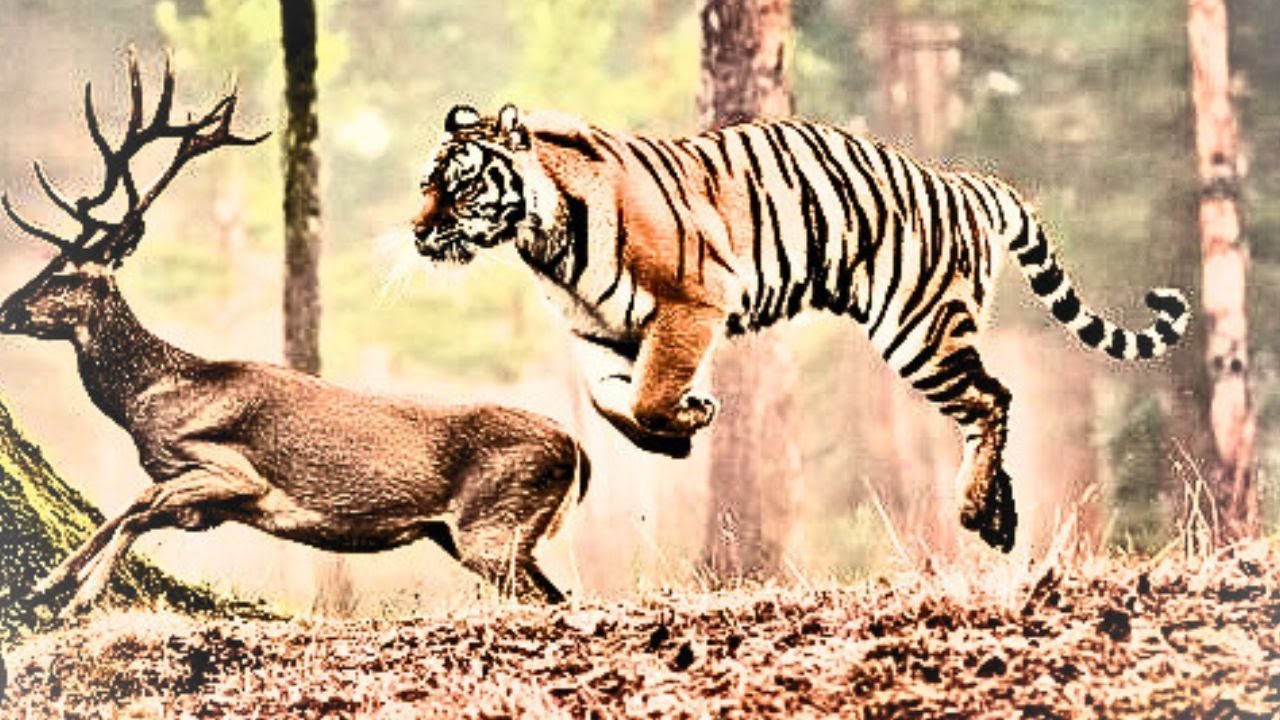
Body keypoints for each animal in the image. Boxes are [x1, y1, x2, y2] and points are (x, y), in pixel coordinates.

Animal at [0, 54, 590, 616]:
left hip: (492, 526)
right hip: (470, 533)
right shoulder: (203, 505)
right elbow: (127, 506)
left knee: (556, 598)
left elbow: (137, 507)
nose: (7, 308)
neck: (151, 399)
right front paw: (48, 582)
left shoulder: (235, 472)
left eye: (64, 274)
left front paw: (79, 595)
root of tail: (580, 453)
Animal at [408, 103, 1190, 553]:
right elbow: (614, 403)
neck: (545, 243)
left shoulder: (693, 301)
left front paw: (686, 418)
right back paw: (1000, 518)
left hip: (917, 327)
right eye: (426, 182)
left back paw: (974, 509)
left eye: (463, 184)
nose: (416, 232)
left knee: (992, 398)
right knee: (988, 403)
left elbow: (650, 392)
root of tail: (962, 180)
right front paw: (680, 432)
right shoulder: (597, 332)